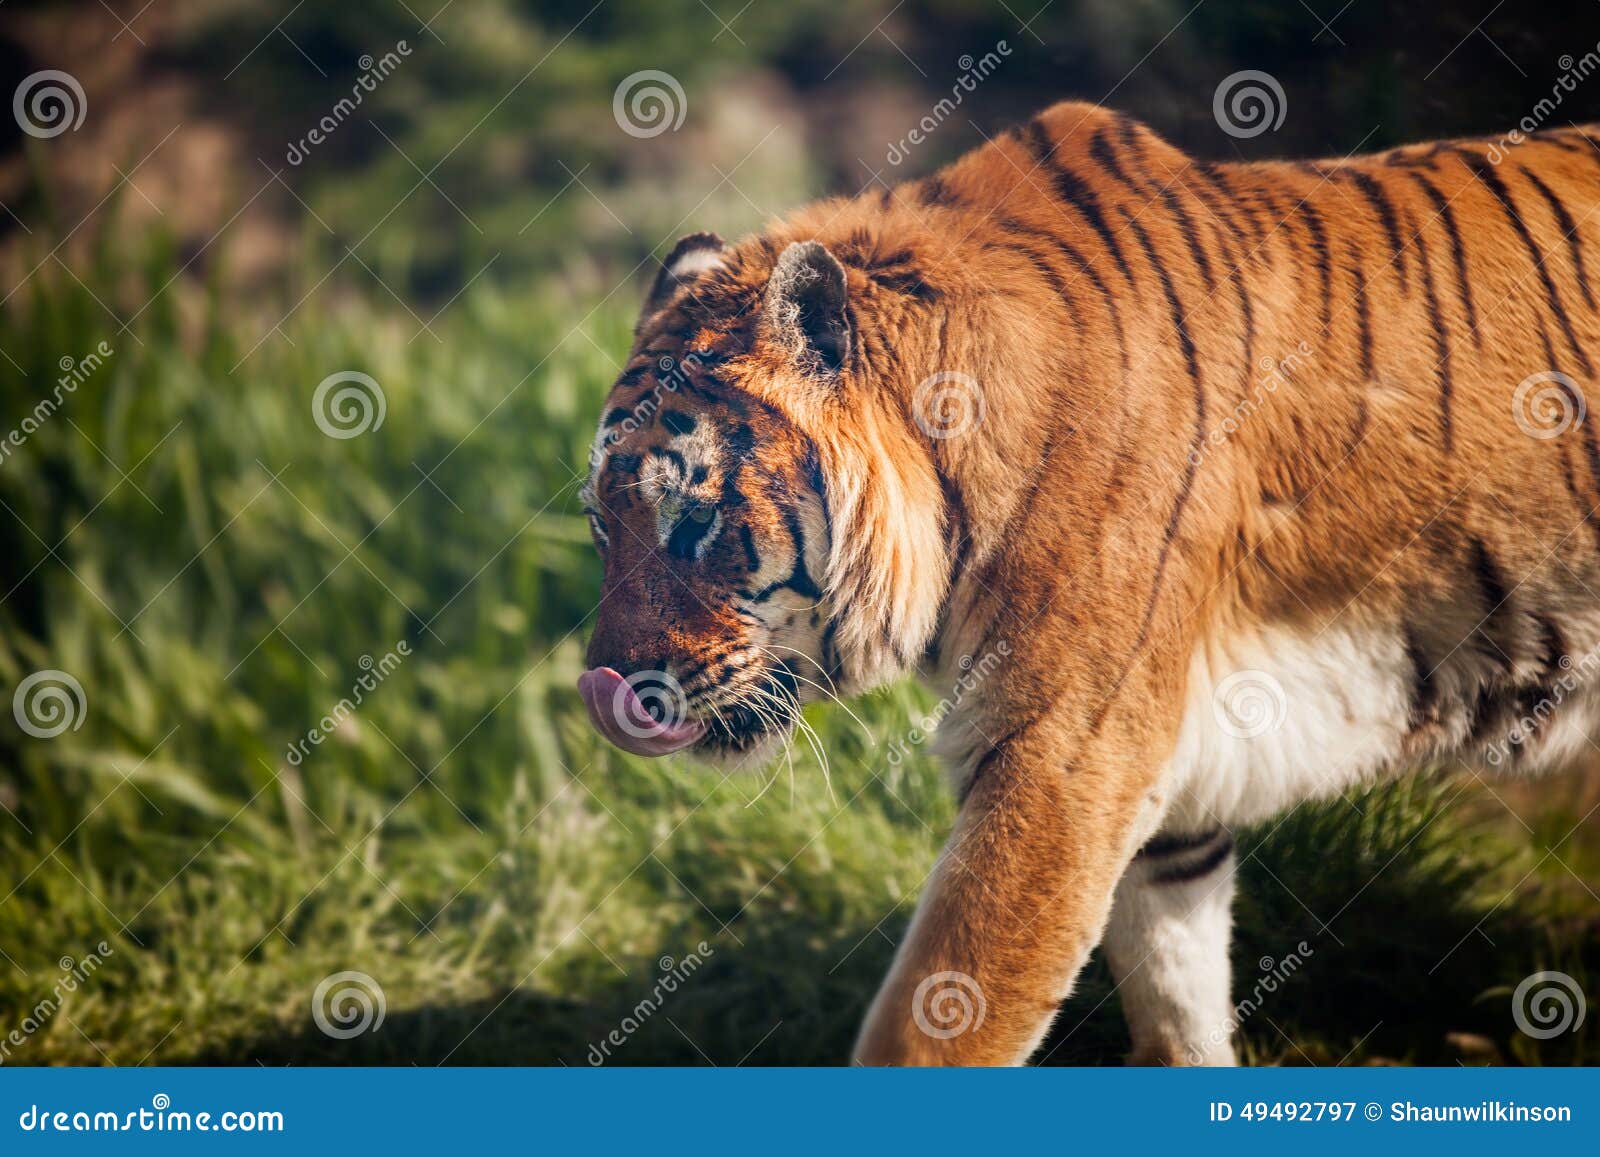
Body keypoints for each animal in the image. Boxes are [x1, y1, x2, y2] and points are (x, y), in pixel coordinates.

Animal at [576, 98, 1600, 1066]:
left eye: (694, 522)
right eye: (600, 525)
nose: (607, 690)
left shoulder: (1064, 757)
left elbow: (935, 1025)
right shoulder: (1156, 791)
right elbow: (1177, 1004)